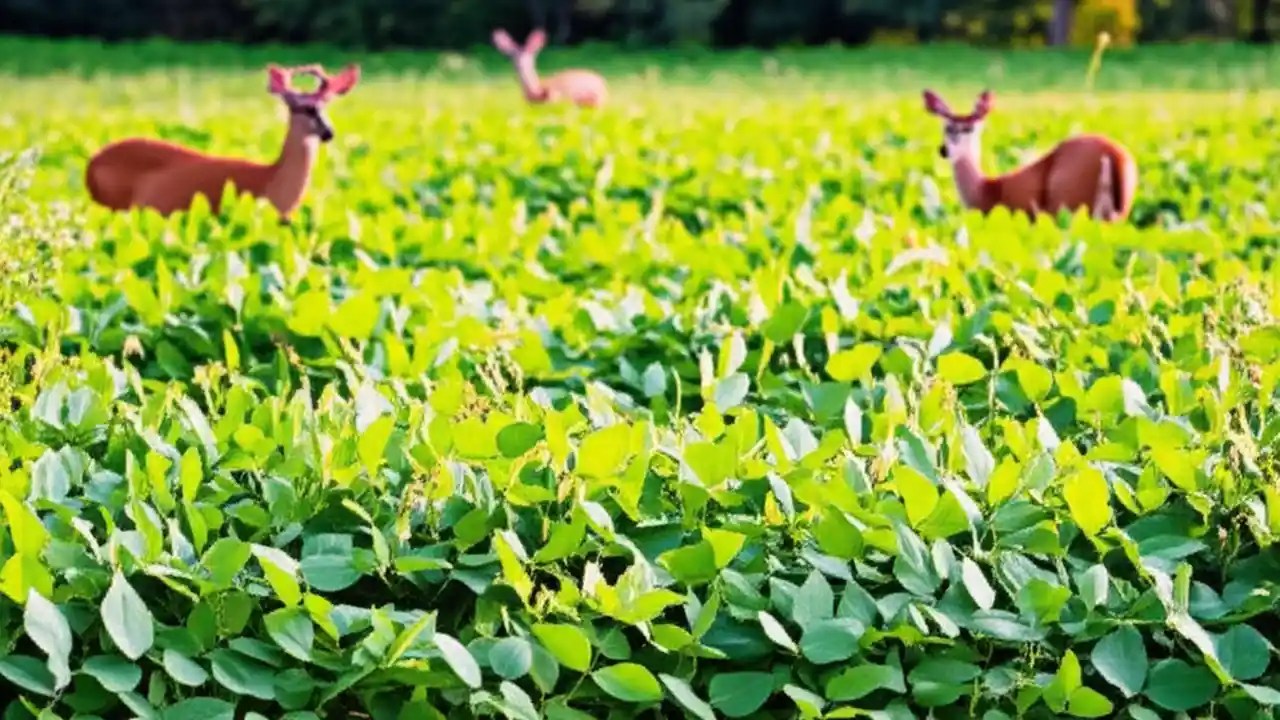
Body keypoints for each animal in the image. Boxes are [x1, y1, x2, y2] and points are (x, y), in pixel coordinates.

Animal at [84, 63, 360, 223]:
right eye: (304, 108)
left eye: (326, 105)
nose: (328, 132)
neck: (271, 184)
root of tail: (91, 165)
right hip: (120, 206)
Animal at [922, 89, 1138, 223]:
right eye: (945, 127)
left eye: (969, 128)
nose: (944, 150)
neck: (984, 191)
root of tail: (1116, 156)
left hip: (1070, 203)